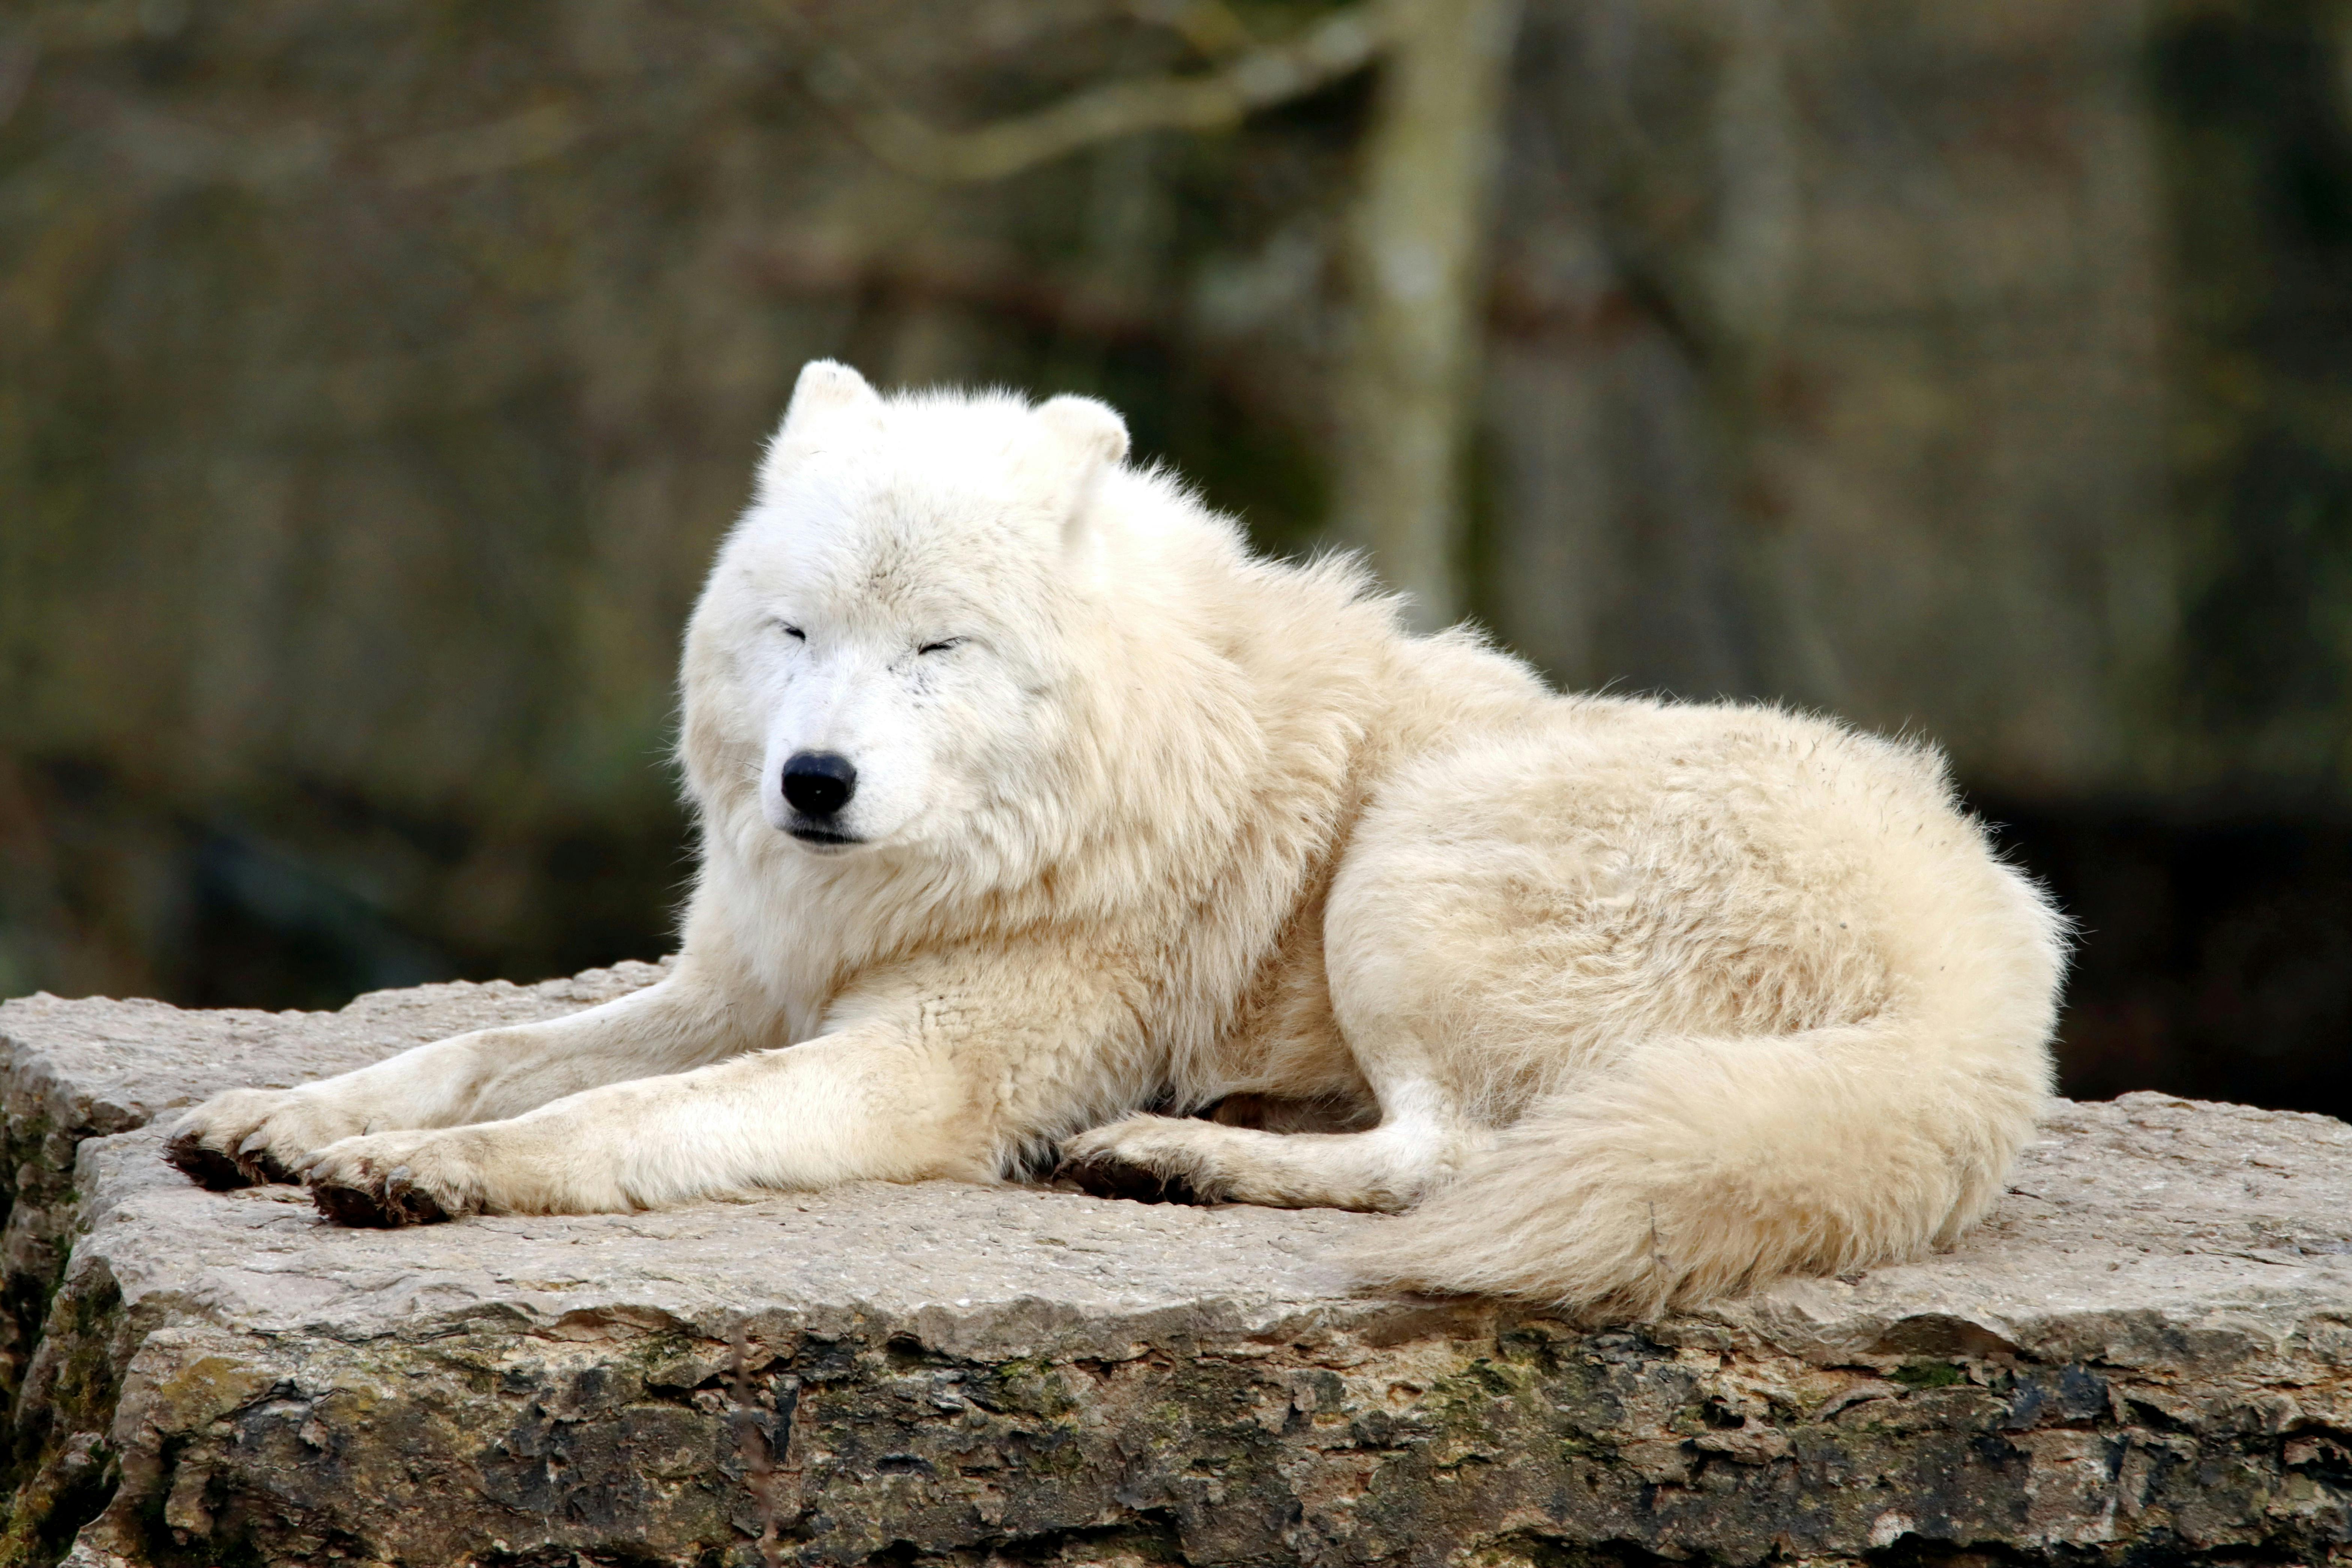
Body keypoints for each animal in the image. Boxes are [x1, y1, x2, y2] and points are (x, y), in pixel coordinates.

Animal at [165, 360, 2066, 1317]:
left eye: (936, 649)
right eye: (794, 634)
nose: (813, 783)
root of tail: (1978, 969)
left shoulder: (908, 1065)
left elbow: (601, 1117)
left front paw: (430, 1177)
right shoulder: (746, 984)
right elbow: (481, 1049)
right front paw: (282, 1116)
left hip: (1406, 874)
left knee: (1443, 1162)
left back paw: (1176, 1155)